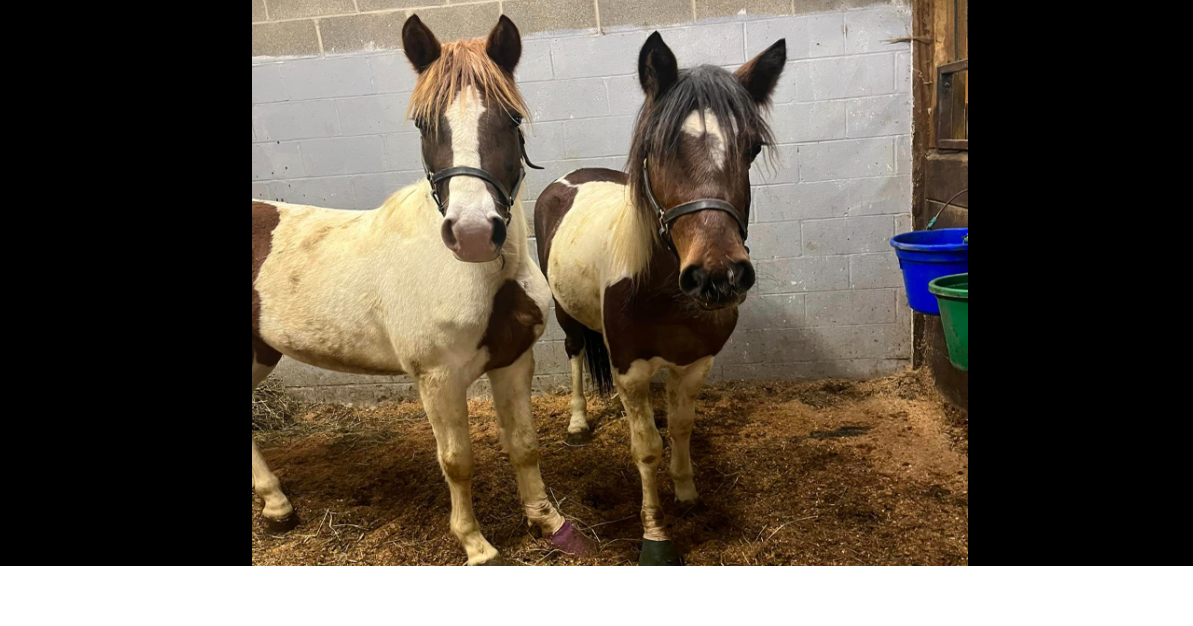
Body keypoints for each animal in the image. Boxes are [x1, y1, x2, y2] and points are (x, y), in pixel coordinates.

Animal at [252, 15, 592, 566]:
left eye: (510, 120)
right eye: (424, 125)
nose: (473, 233)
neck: (481, 276)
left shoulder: (513, 360)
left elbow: (524, 443)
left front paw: (550, 523)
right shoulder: (438, 379)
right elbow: (457, 461)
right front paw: (476, 544)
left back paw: (278, 504)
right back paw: (277, 505)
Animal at [535, 32, 787, 566]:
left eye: (752, 147)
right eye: (655, 148)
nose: (719, 276)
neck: (662, 291)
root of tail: (568, 180)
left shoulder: (694, 363)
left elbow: (682, 426)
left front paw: (687, 494)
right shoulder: (629, 367)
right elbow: (647, 448)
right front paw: (655, 535)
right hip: (566, 316)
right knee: (574, 355)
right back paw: (577, 423)